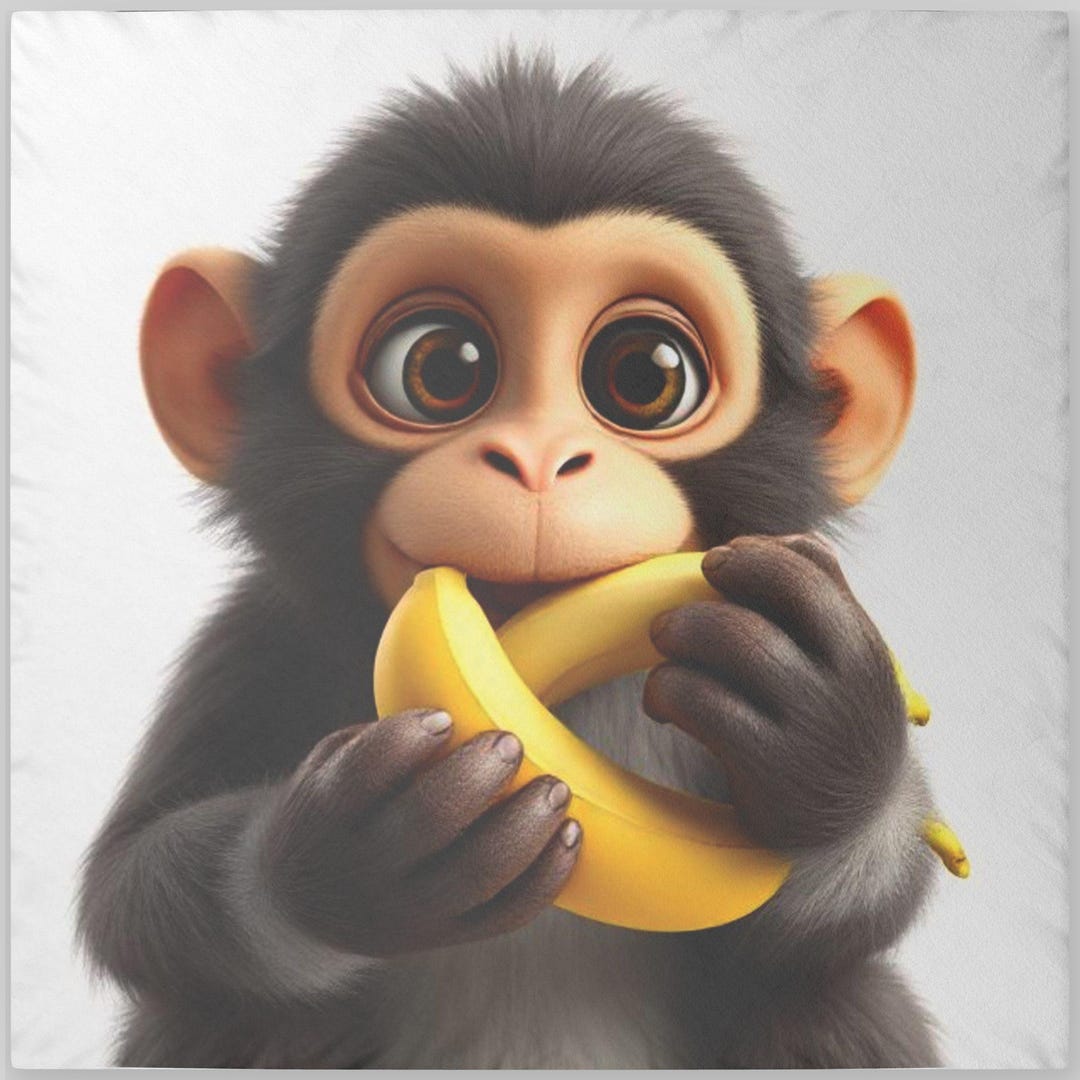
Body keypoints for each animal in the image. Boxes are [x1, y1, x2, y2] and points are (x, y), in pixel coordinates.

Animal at [78, 53, 942, 1068]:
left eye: (645, 376)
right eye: (440, 369)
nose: (538, 458)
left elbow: (821, 930)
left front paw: (825, 738)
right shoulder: (255, 638)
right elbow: (135, 896)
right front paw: (347, 859)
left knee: (827, 998)